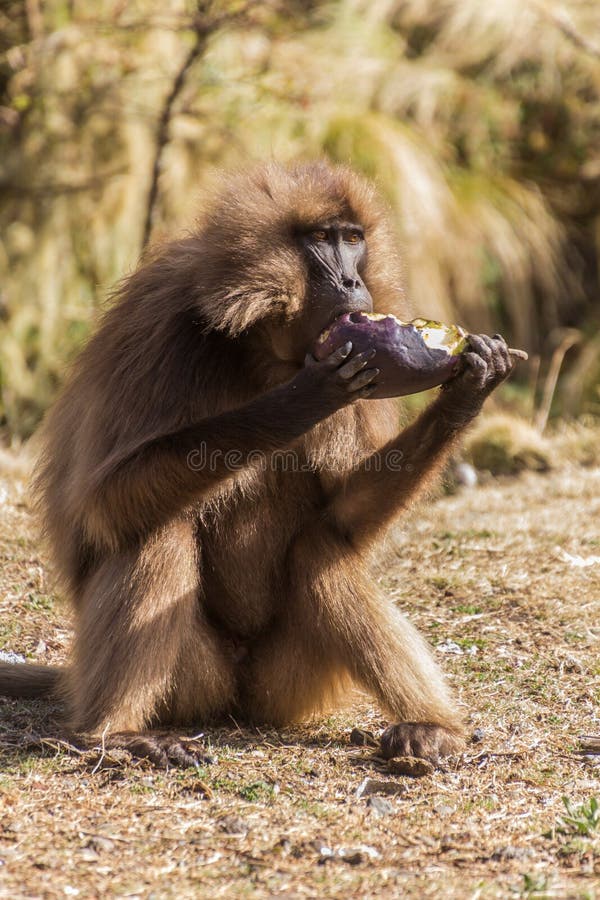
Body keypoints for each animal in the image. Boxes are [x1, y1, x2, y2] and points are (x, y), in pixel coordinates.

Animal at [0, 162, 515, 767]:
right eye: (322, 238)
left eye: (354, 239)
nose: (353, 283)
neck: (260, 345)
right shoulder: (154, 324)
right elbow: (101, 502)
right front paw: (299, 400)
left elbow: (344, 519)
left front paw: (468, 390)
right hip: (192, 681)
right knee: (158, 535)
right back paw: (117, 734)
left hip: (288, 685)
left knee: (321, 553)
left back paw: (429, 728)